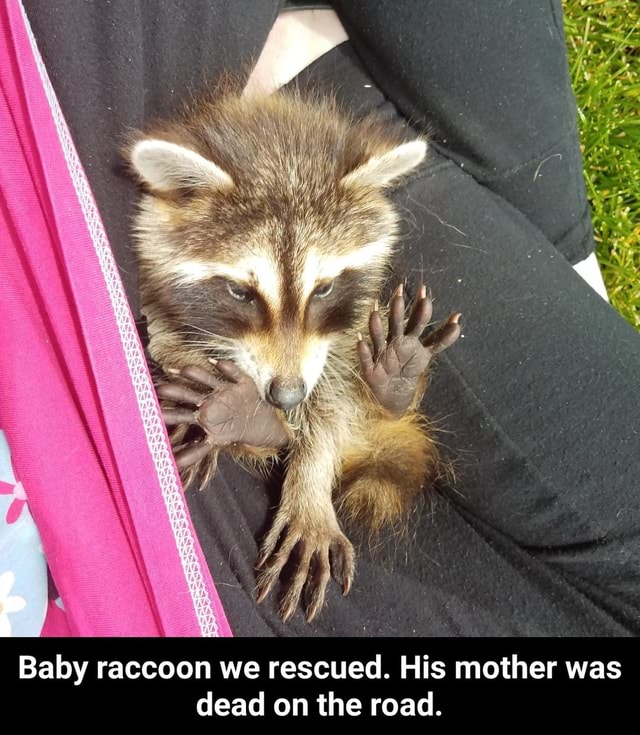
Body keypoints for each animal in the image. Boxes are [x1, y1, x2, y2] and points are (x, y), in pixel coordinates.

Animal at [126, 87, 460, 622]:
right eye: (240, 293)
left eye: (323, 288)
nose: (284, 396)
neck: (281, 153)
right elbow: (170, 337)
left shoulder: (343, 330)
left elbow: (331, 398)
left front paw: (310, 480)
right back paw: (250, 423)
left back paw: (391, 381)